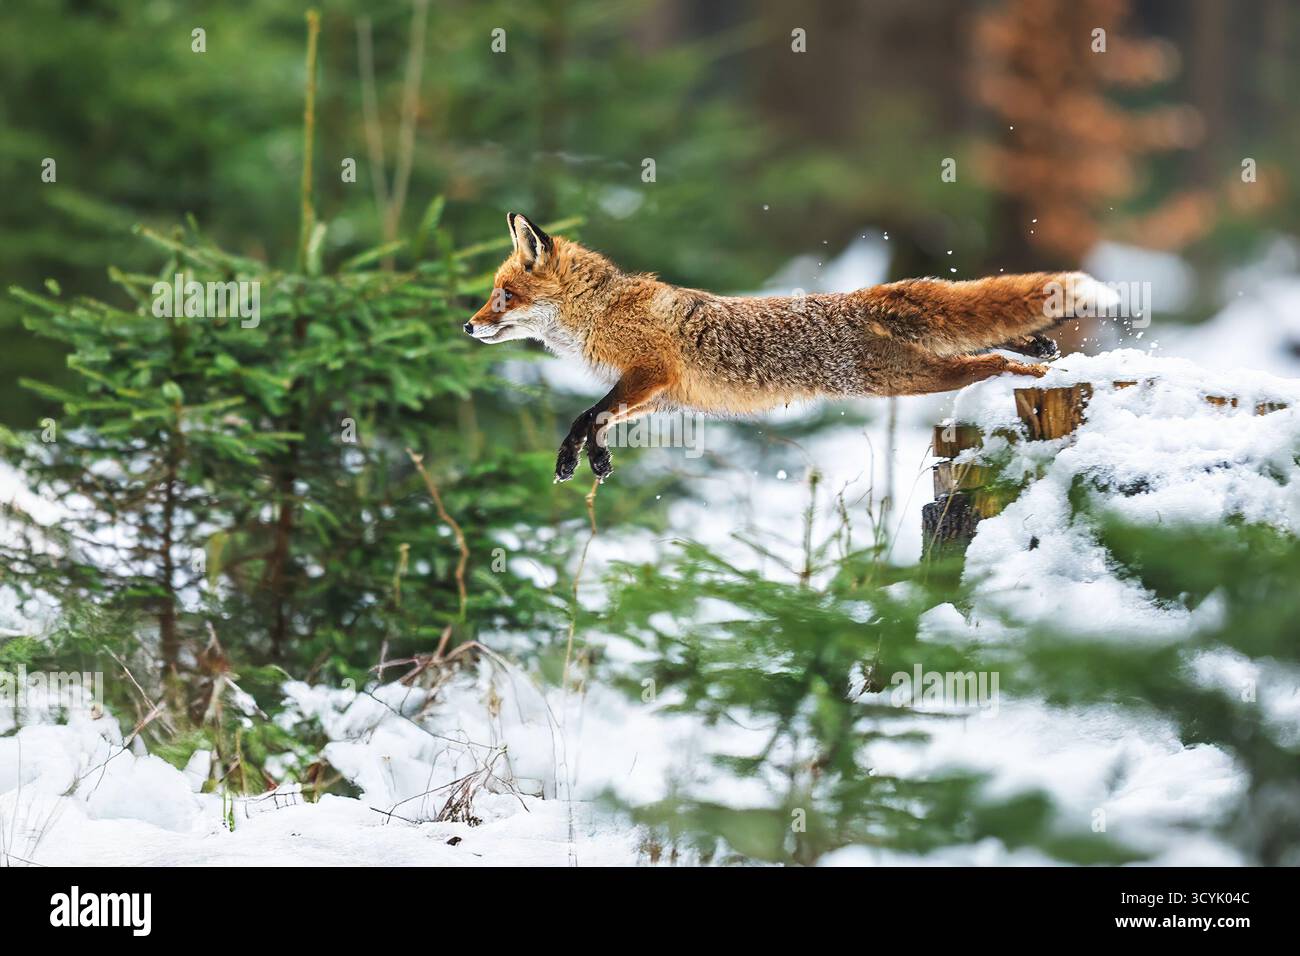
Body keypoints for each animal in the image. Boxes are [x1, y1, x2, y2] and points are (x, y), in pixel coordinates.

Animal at [466, 212, 1116, 483]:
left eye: (502, 296)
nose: (468, 328)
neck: (600, 313)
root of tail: (858, 296)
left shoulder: (650, 372)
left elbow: (586, 413)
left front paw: (572, 459)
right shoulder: (661, 395)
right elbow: (599, 418)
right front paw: (595, 460)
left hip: (912, 378)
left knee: (988, 361)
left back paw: (1032, 374)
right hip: (915, 370)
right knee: (997, 336)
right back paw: (1041, 346)